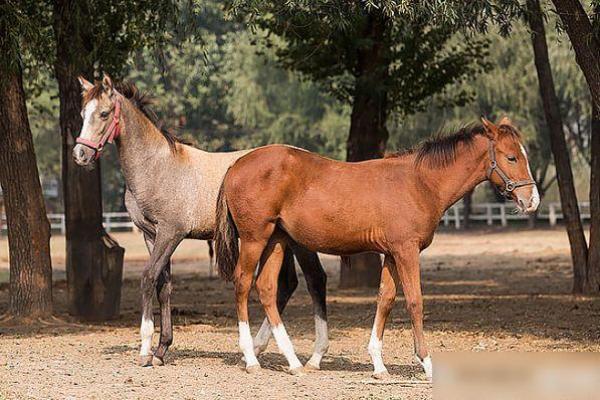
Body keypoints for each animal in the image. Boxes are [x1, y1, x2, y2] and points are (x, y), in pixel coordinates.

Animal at [72, 76, 330, 372]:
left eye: (104, 113)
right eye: (83, 113)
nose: (80, 154)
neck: (157, 167)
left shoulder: (171, 233)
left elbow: (148, 278)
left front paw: (146, 350)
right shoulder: (151, 235)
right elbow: (164, 285)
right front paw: (162, 350)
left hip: (298, 240)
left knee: (314, 280)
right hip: (279, 239)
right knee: (287, 284)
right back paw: (258, 348)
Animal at [216, 118, 540, 378]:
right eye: (511, 157)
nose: (532, 201)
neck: (419, 183)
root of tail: (234, 166)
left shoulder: (391, 254)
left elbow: (385, 298)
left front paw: (379, 365)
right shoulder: (406, 251)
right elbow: (414, 301)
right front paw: (426, 363)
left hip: (277, 240)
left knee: (267, 288)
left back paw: (294, 362)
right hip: (255, 238)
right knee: (243, 284)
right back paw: (251, 359)